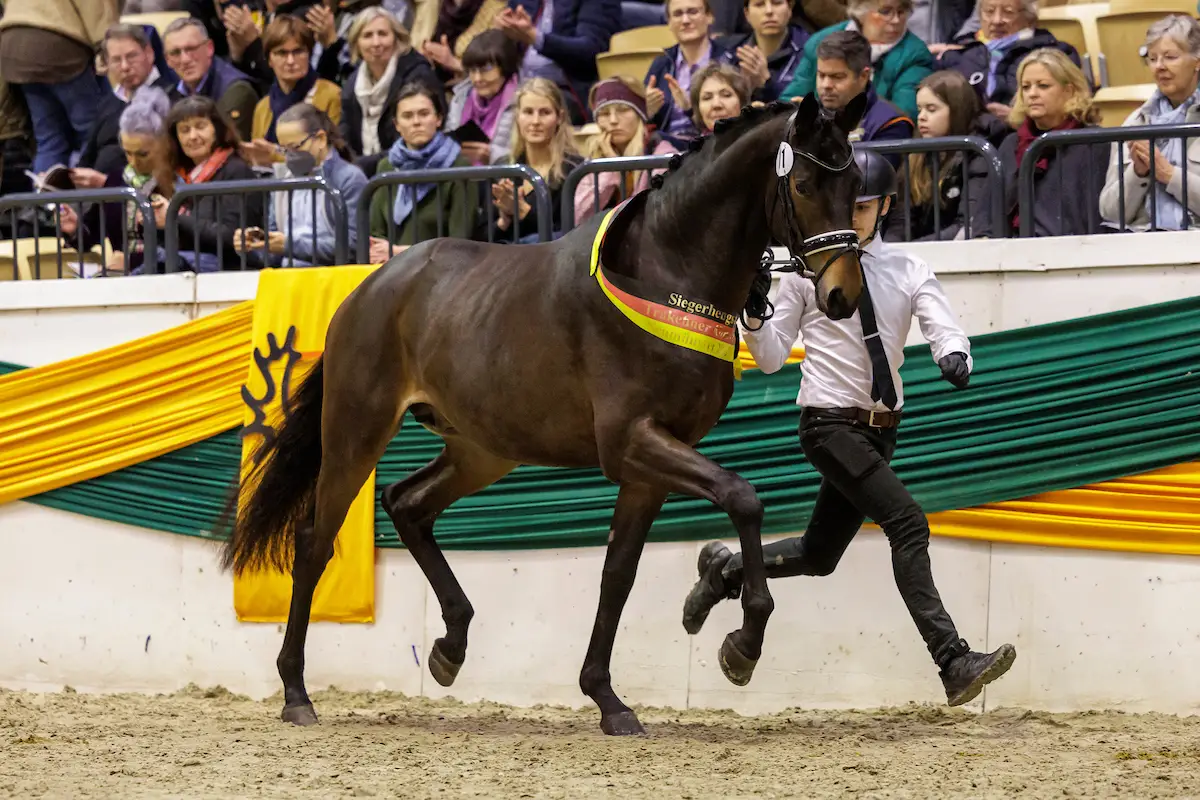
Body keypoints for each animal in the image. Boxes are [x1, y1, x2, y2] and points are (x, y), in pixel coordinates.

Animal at [223, 92, 869, 736]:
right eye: (804, 184)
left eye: (856, 182)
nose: (842, 295)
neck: (663, 274)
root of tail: (368, 288)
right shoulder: (632, 442)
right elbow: (742, 497)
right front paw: (743, 645)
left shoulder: (649, 467)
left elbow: (618, 573)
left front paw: (608, 698)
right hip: (357, 432)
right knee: (315, 540)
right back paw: (296, 691)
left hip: (483, 450)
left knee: (406, 504)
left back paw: (450, 646)